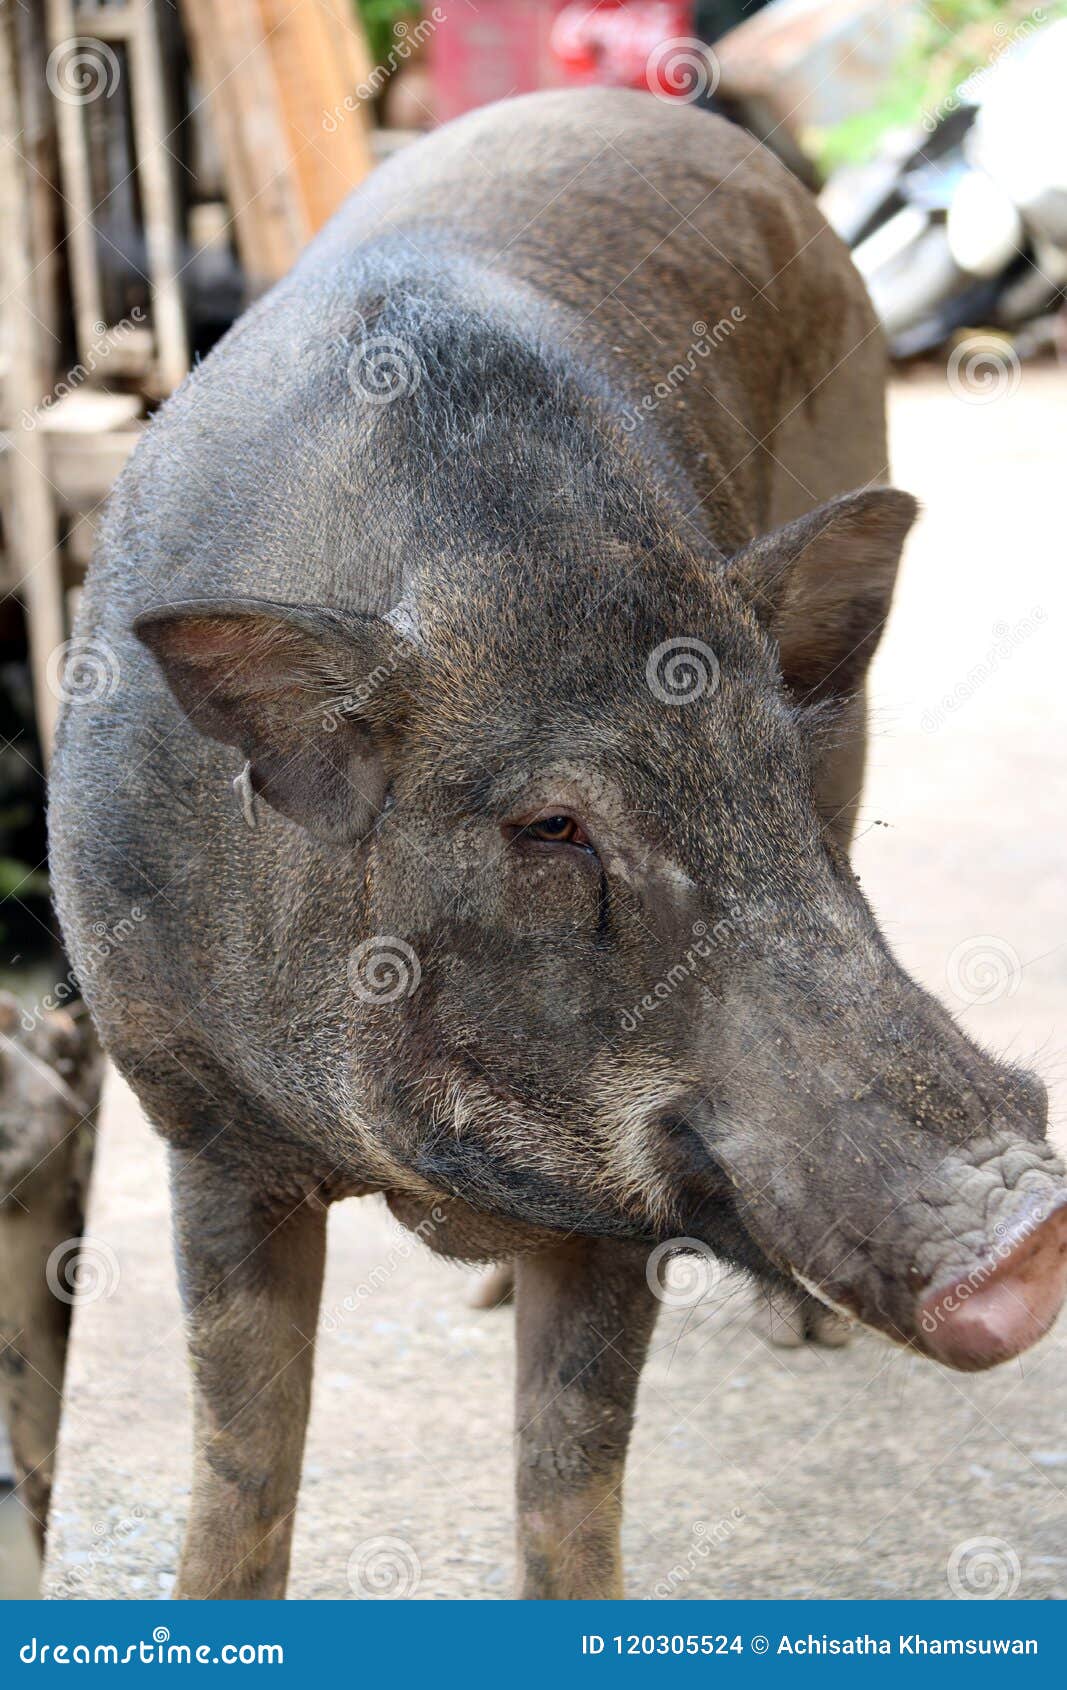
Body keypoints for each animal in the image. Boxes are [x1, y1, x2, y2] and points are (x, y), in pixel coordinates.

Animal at [48, 89, 1067, 1600]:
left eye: (770, 773)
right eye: (548, 824)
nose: (1030, 1232)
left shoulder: (619, 1204)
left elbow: (566, 1492)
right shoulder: (200, 1129)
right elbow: (240, 1463)